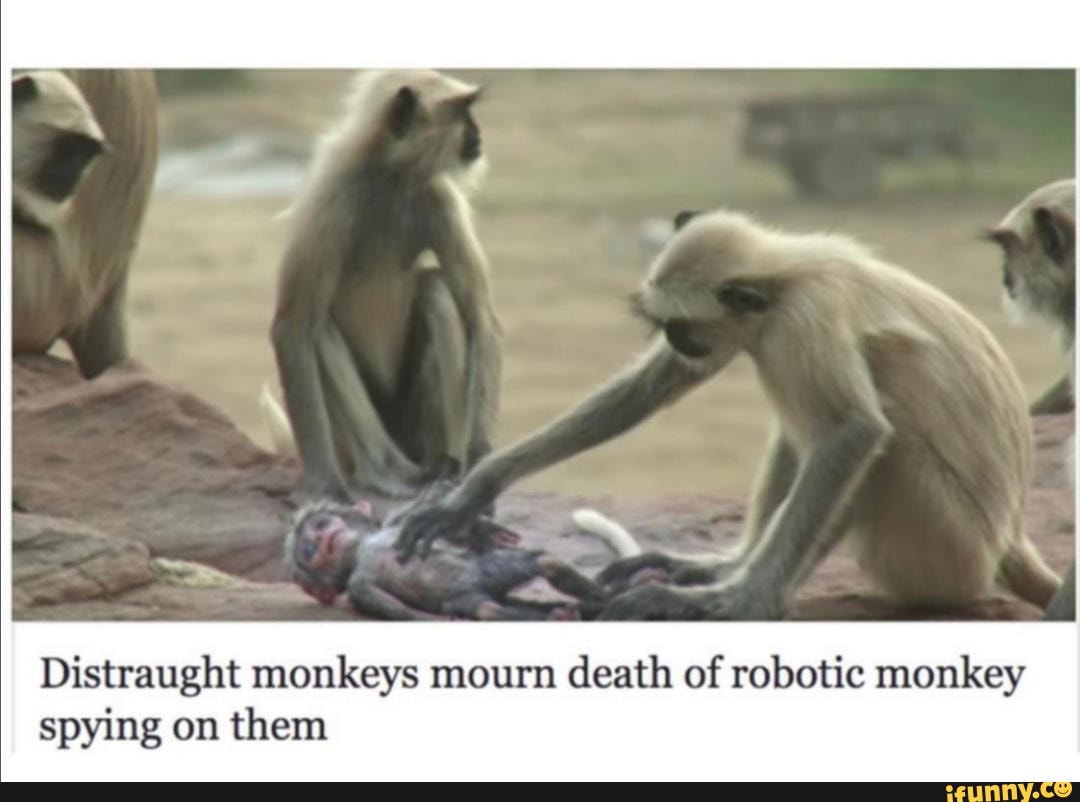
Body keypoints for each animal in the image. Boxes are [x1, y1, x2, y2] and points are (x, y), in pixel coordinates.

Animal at [270, 70, 502, 502]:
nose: (478, 132)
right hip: (351, 441)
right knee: (317, 328)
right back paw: (388, 471)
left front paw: (481, 460)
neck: (389, 178)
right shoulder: (328, 198)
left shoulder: (440, 199)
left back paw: (442, 464)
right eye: (463, 111)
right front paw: (326, 489)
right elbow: (292, 328)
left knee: (435, 290)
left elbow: (481, 319)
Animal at [396, 209, 1061, 620]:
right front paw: (473, 491)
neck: (785, 277)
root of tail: (1006, 540)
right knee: (801, 430)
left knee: (878, 441)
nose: (673, 338)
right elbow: (654, 385)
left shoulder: (801, 322)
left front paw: (747, 601)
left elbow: (855, 432)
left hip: (948, 548)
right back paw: (716, 568)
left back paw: (729, 587)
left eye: (681, 326)